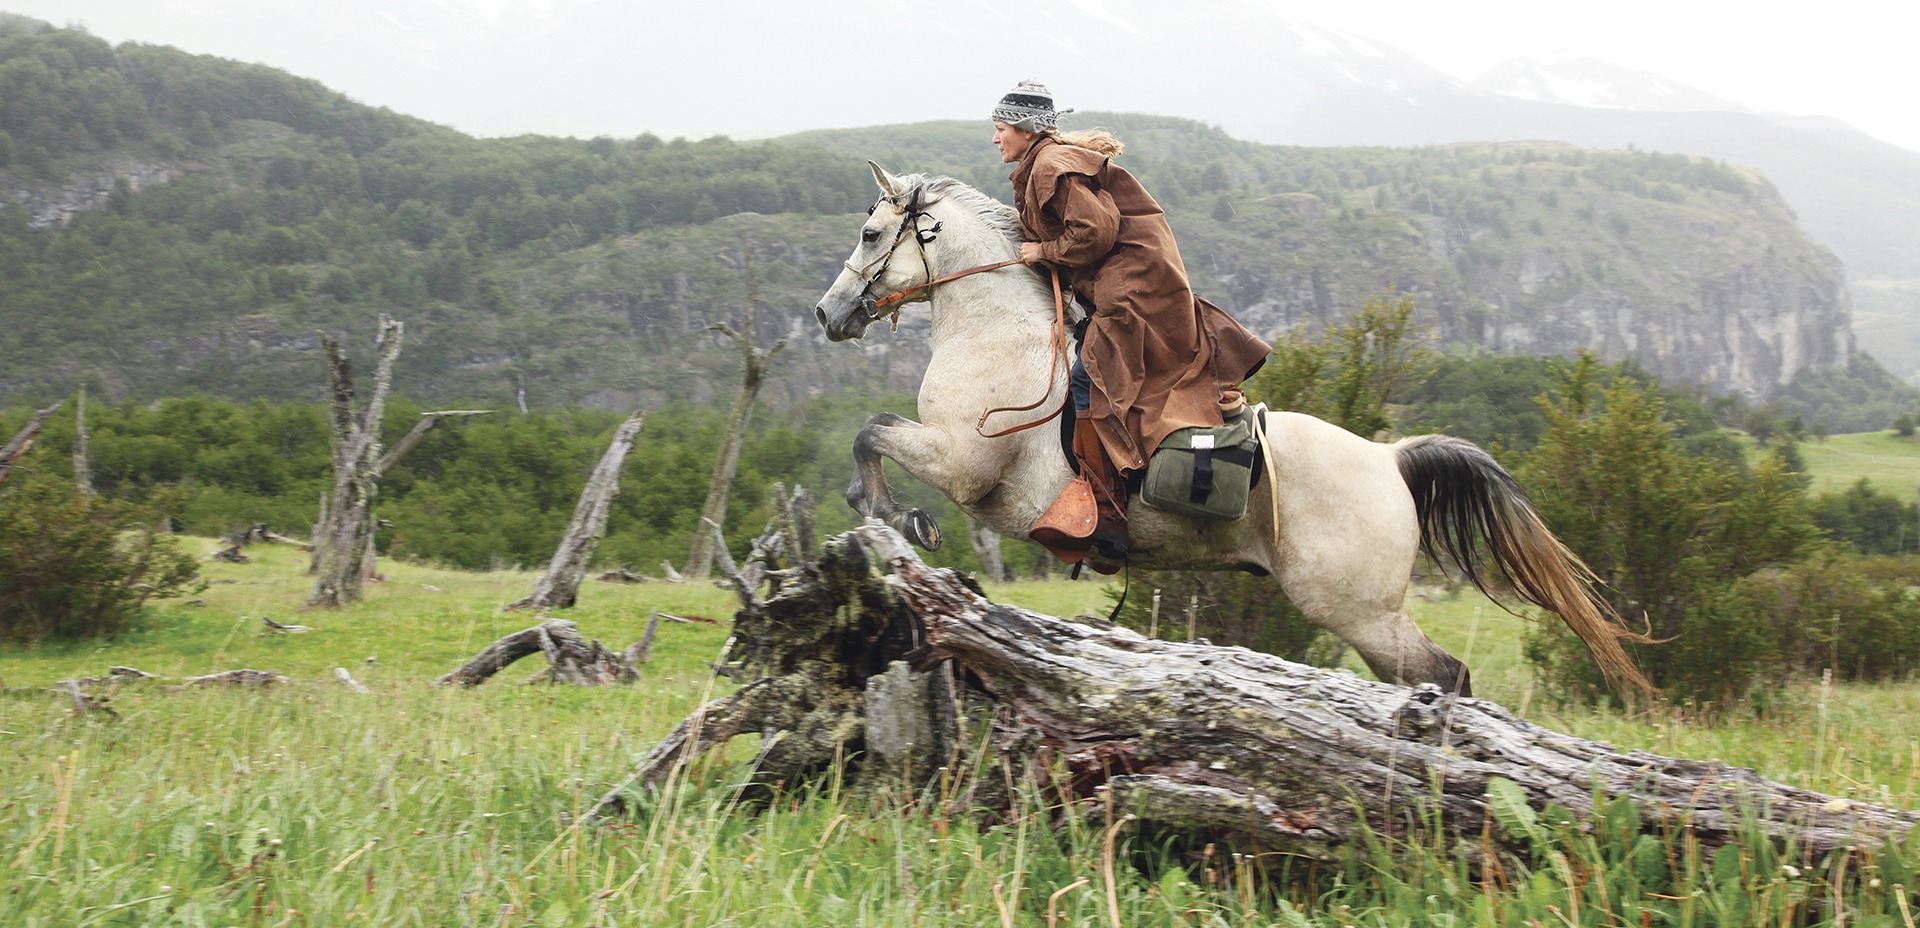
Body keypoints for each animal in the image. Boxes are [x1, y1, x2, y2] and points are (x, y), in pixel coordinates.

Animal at [811, 162, 1651, 700]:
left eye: (869, 232)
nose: (828, 314)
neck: (1000, 335)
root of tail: (1390, 459)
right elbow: (871, 429)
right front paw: (890, 514)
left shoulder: (963, 465)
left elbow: (870, 432)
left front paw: (894, 514)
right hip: (1366, 616)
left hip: (1360, 611)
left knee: (1443, 676)